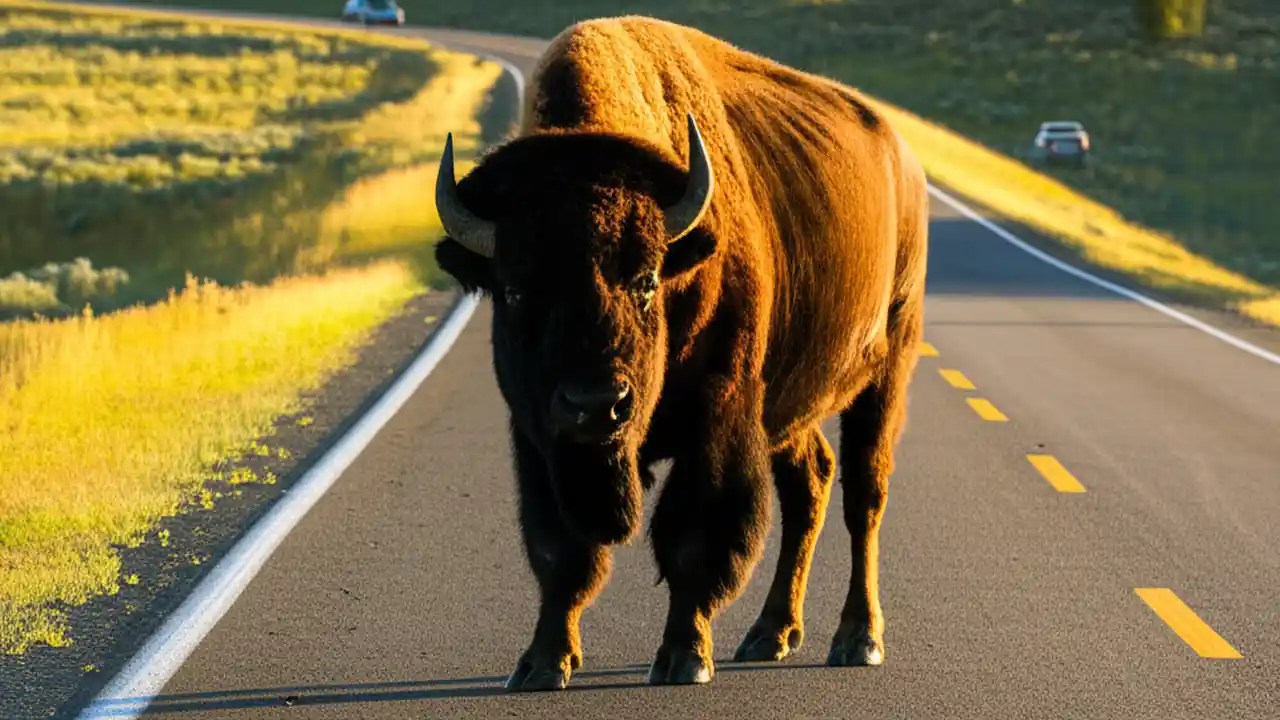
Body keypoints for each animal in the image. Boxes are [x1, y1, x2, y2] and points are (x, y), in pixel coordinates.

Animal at [434, 15, 929, 691]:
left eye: (645, 281)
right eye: (512, 290)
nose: (597, 404)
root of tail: (904, 159)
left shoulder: (718, 414)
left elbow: (693, 536)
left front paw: (685, 657)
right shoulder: (540, 440)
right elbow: (559, 548)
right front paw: (542, 662)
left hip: (887, 370)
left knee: (864, 498)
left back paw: (858, 639)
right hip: (786, 407)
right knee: (810, 484)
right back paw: (771, 634)